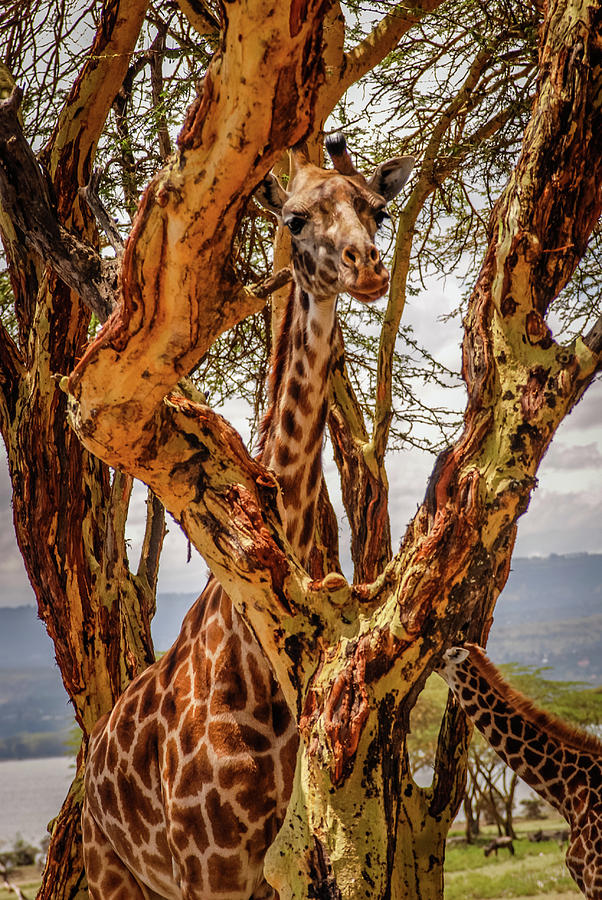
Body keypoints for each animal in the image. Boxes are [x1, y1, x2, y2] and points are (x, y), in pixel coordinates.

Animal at [81, 134, 415, 900]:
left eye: (377, 210)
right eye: (294, 218)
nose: (367, 268)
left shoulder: (285, 864)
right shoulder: (212, 869)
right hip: (113, 871)